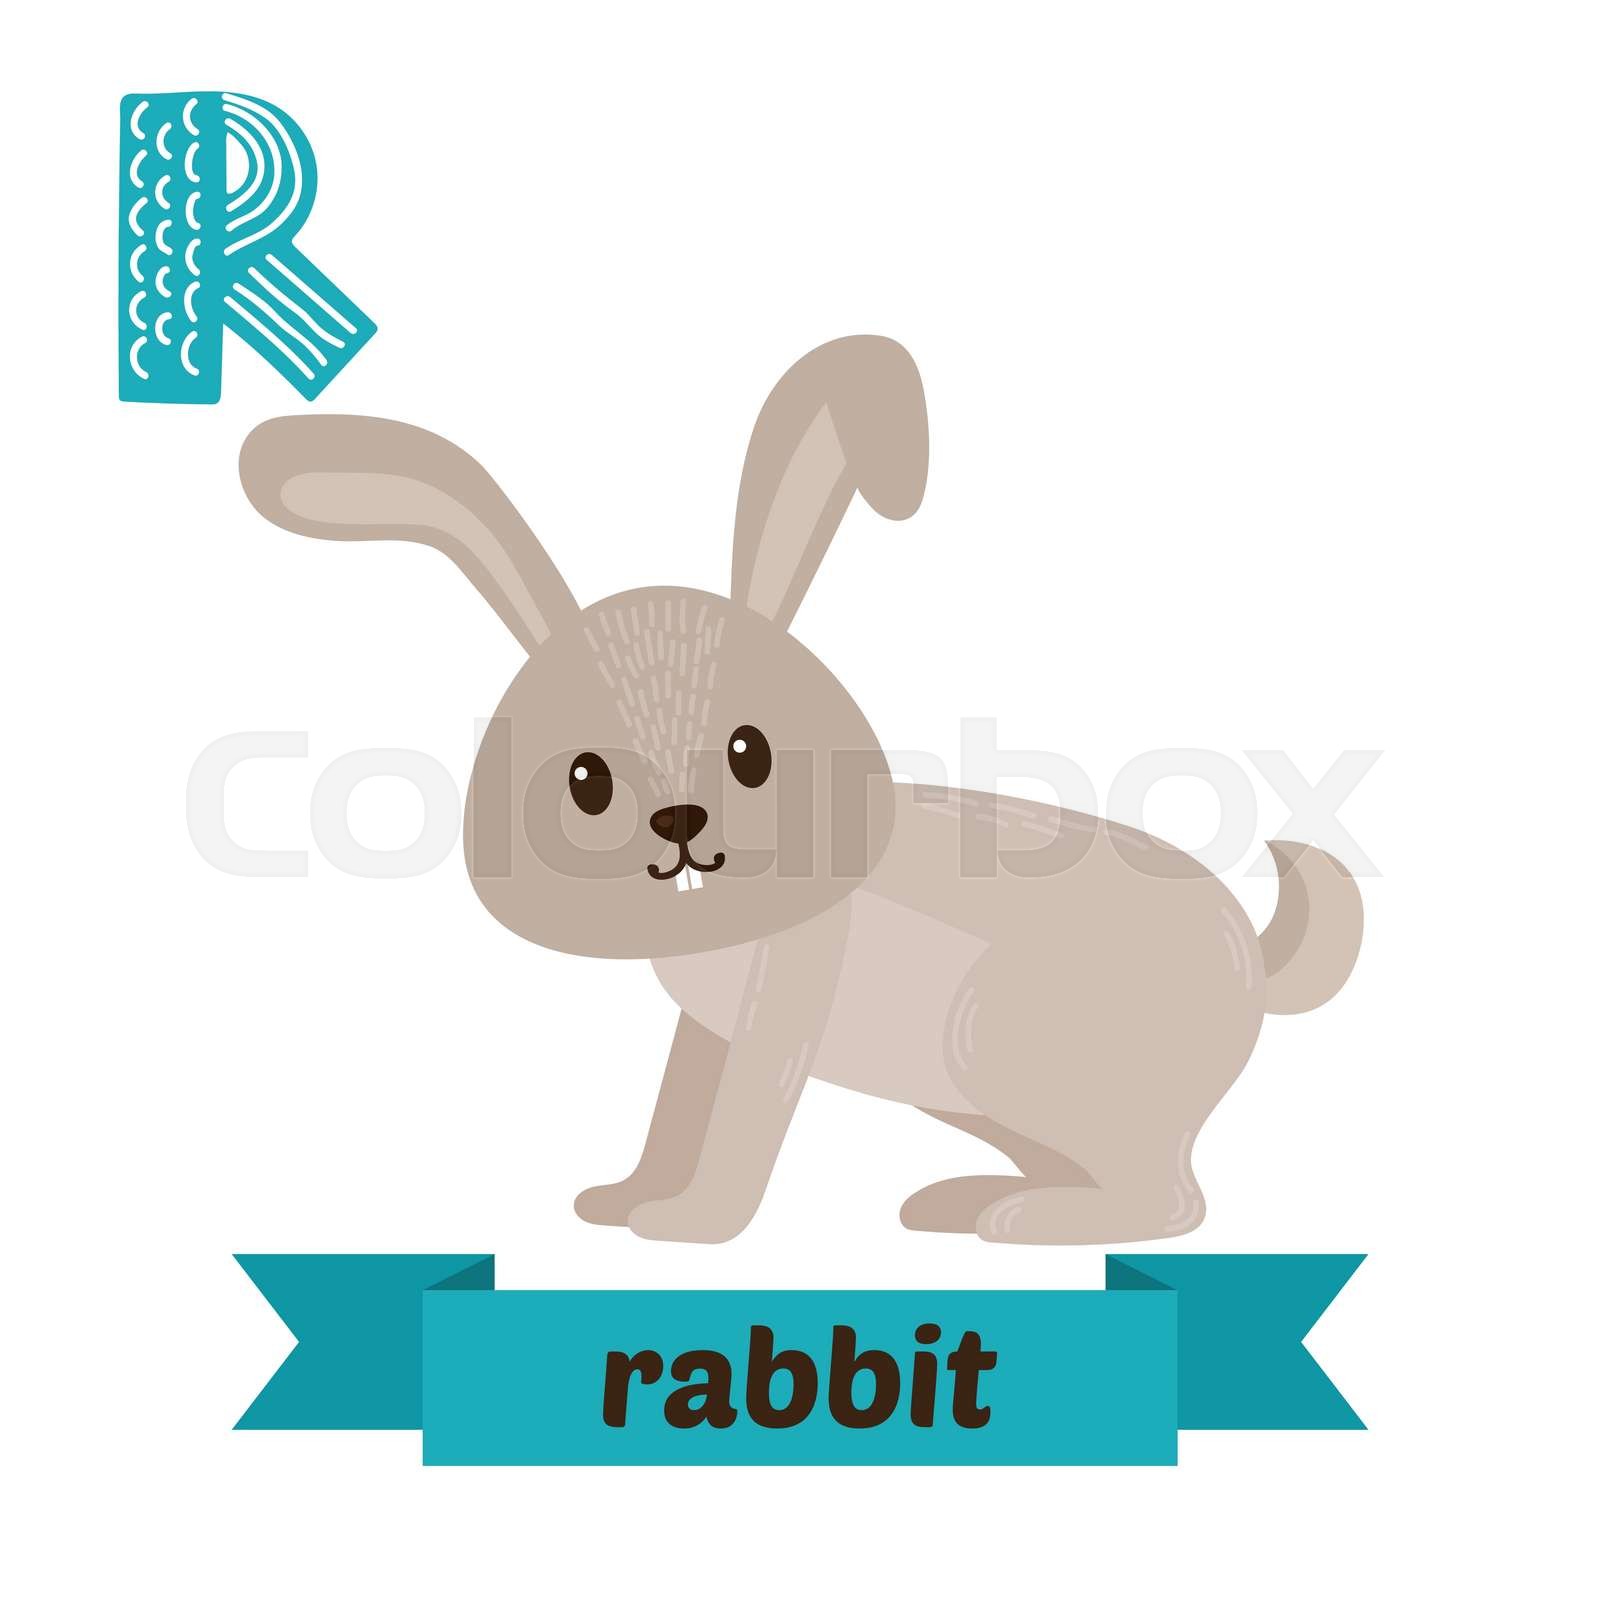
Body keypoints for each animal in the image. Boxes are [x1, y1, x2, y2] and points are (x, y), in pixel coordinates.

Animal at [238, 335, 1362, 1246]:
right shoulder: (708, 1030)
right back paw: (961, 1202)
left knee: (1173, 1200)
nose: (680, 823)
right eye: (586, 780)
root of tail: (1255, 960)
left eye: (750, 753)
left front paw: (689, 1229)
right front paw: (624, 1200)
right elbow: (678, 1106)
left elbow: (739, 1122)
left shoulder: (786, 1001)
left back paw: (1027, 1223)